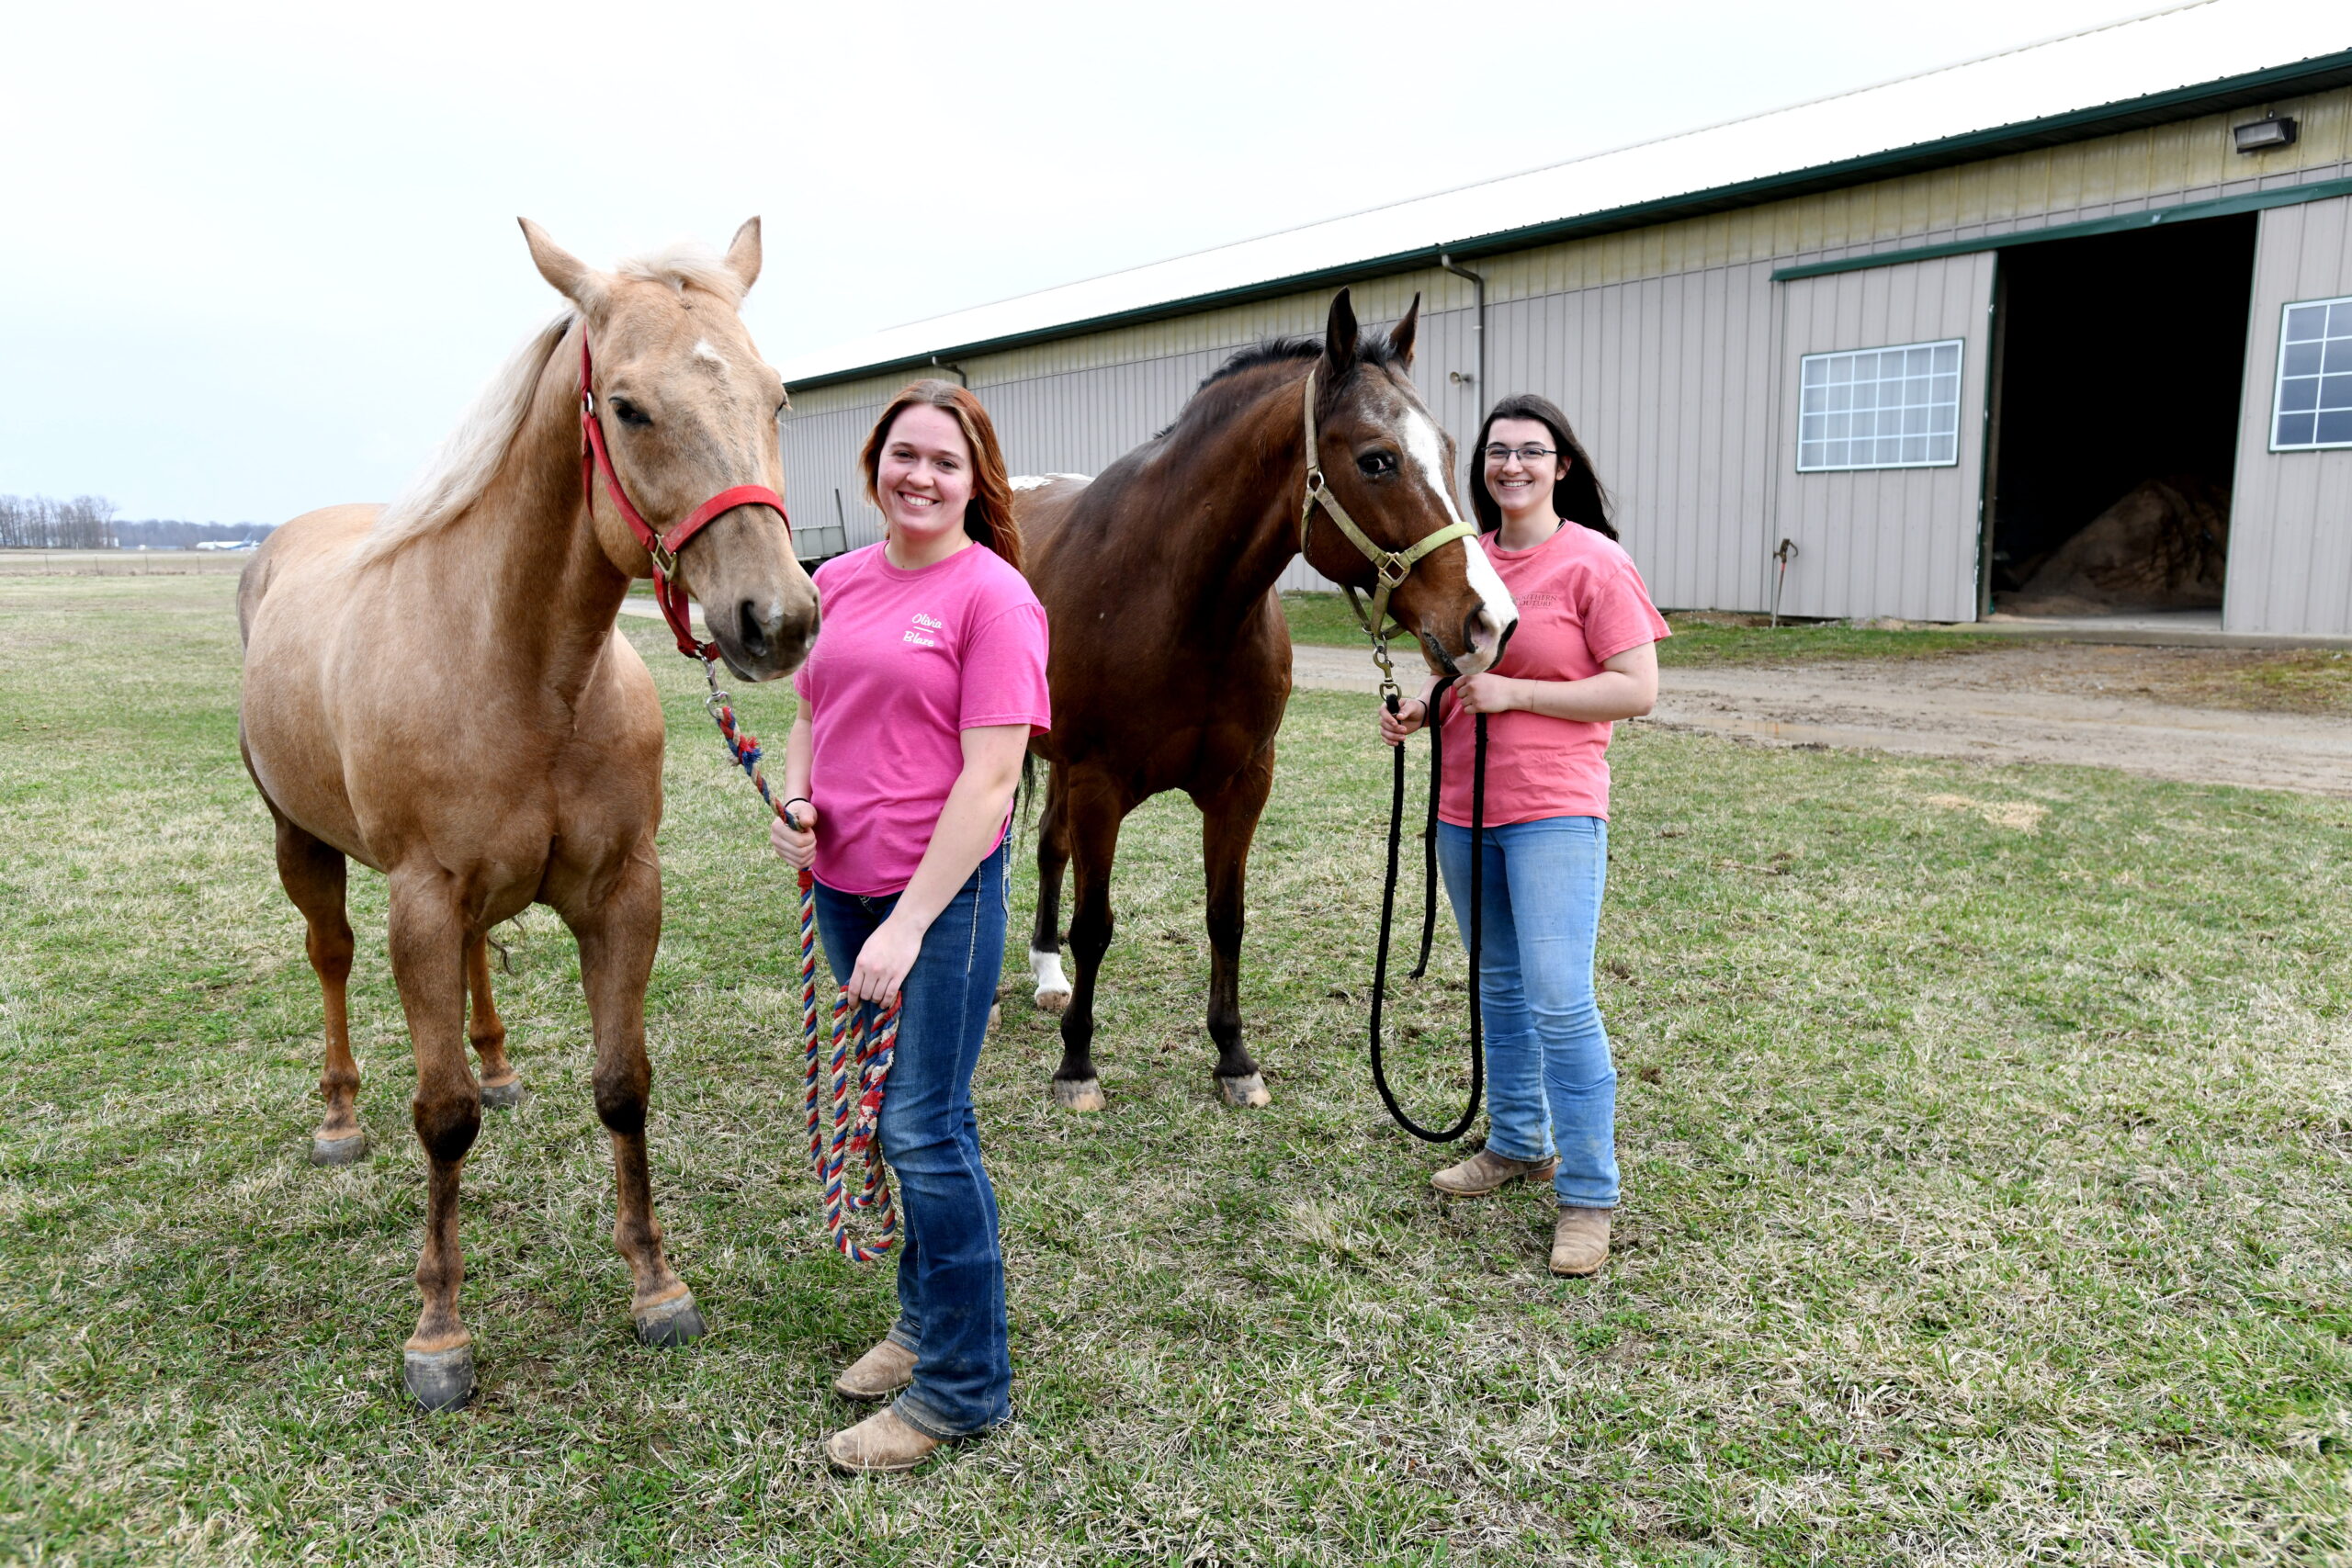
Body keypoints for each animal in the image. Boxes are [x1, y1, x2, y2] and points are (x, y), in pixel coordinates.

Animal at [237, 218, 818, 1411]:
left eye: (777, 396)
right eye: (629, 407)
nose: (775, 620)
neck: (521, 668)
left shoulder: (621, 893)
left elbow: (623, 1086)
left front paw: (655, 1284)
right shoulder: (418, 900)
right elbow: (440, 1117)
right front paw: (438, 1332)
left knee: (474, 971)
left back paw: (501, 1068)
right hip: (303, 845)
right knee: (330, 959)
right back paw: (339, 1117)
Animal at [1013, 289, 1517, 1112]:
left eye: (1448, 449)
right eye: (1376, 459)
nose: (1491, 623)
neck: (1177, 598)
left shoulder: (1244, 782)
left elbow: (1227, 917)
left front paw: (1233, 1054)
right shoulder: (1098, 783)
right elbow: (1095, 924)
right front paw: (1077, 1064)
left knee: (1051, 845)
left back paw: (1047, 973)